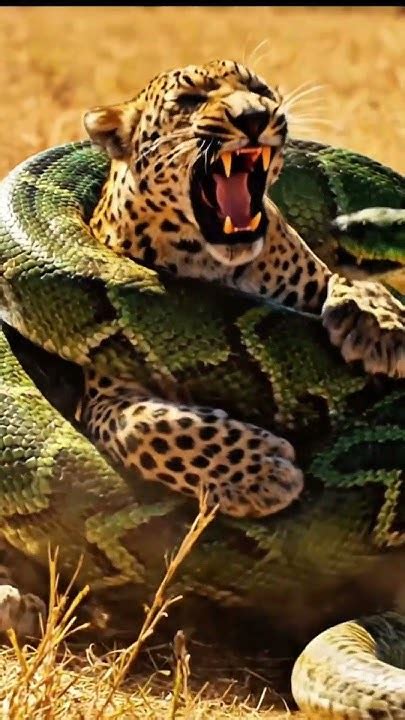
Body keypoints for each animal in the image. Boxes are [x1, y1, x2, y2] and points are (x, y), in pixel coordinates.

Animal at [78, 59, 405, 519]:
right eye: (190, 100)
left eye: (260, 90)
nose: (254, 116)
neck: (217, 261)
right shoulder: (106, 393)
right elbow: (145, 427)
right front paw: (258, 471)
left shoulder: (311, 273)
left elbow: (339, 276)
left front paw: (377, 324)